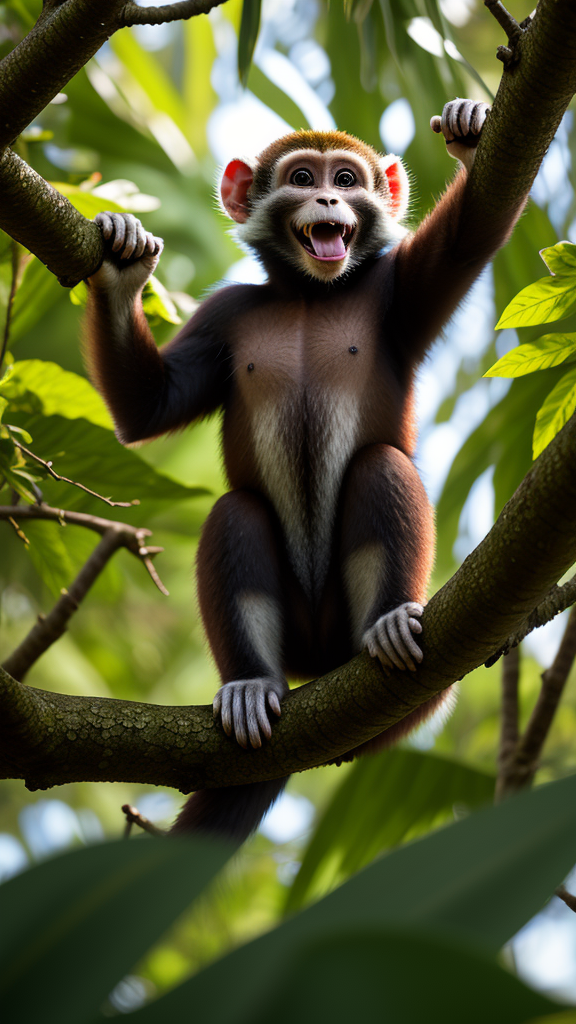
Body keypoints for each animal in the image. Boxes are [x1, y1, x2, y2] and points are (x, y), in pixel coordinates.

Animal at [85, 98, 526, 844]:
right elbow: (149, 411)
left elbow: (472, 239)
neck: (309, 296)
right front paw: (120, 271)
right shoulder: (226, 312)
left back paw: (387, 624)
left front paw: (470, 134)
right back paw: (252, 684)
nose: (327, 199)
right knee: (234, 511)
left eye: (346, 179)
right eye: (301, 178)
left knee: (381, 467)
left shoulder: (392, 288)